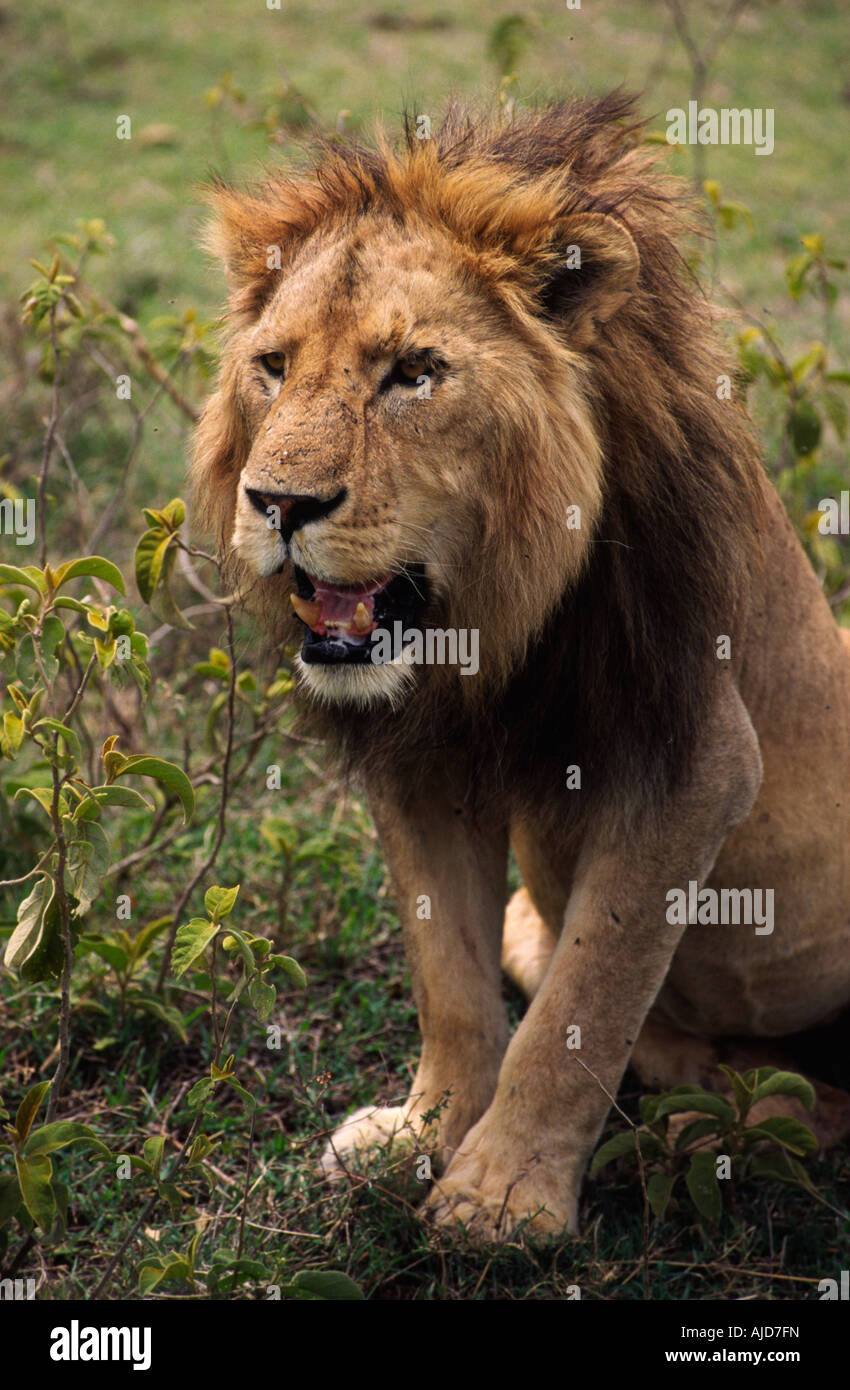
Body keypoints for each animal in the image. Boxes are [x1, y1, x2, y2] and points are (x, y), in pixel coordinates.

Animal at [192, 94, 850, 1242]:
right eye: (273, 366)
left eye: (413, 372)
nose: (276, 504)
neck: (485, 630)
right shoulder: (417, 759)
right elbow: (450, 981)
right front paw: (425, 1133)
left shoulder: (692, 760)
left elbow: (588, 998)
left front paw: (500, 1197)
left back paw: (724, 1131)